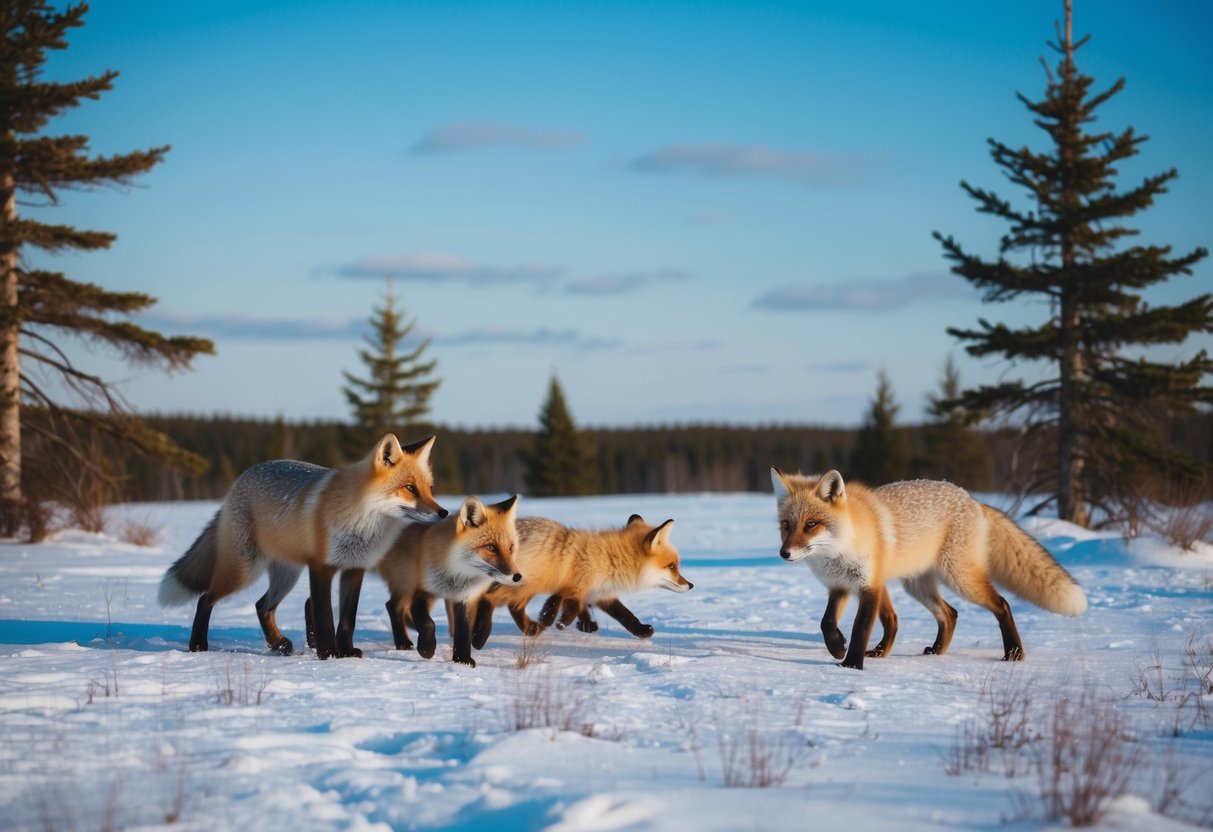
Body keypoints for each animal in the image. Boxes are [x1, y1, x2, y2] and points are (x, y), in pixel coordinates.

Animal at [158, 434, 447, 659]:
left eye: (429, 488)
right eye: (409, 488)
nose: (443, 513)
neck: (361, 523)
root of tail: (240, 481)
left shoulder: (355, 568)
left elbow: (347, 620)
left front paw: (346, 651)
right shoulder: (321, 567)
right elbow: (325, 616)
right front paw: (329, 653)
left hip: (287, 575)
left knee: (262, 606)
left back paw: (278, 645)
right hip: (243, 571)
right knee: (206, 599)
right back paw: (198, 646)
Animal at [374, 494, 522, 666]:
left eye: (511, 547)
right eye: (491, 547)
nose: (517, 576)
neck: (457, 576)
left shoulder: (466, 598)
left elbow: (463, 632)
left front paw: (462, 660)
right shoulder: (423, 592)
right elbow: (428, 623)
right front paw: (426, 649)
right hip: (406, 584)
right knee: (392, 606)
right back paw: (403, 642)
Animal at [470, 513, 694, 650]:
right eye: (672, 566)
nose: (690, 585)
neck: (609, 559)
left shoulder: (601, 593)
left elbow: (626, 616)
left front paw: (642, 631)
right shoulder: (576, 584)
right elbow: (566, 604)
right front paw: (557, 620)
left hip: (530, 586)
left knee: (513, 606)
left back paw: (531, 629)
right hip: (529, 583)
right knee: (489, 599)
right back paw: (480, 637)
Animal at [771, 468, 1087, 670]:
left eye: (811, 524)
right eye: (786, 525)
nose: (784, 553)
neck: (839, 548)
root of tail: (972, 499)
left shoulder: (868, 585)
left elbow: (861, 628)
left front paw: (851, 665)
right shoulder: (842, 585)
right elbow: (826, 623)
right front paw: (837, 647)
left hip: (958, 577)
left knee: (1002, 604)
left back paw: (1014, 652)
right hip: (917, 585)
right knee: (945, 614)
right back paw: (928, 651)